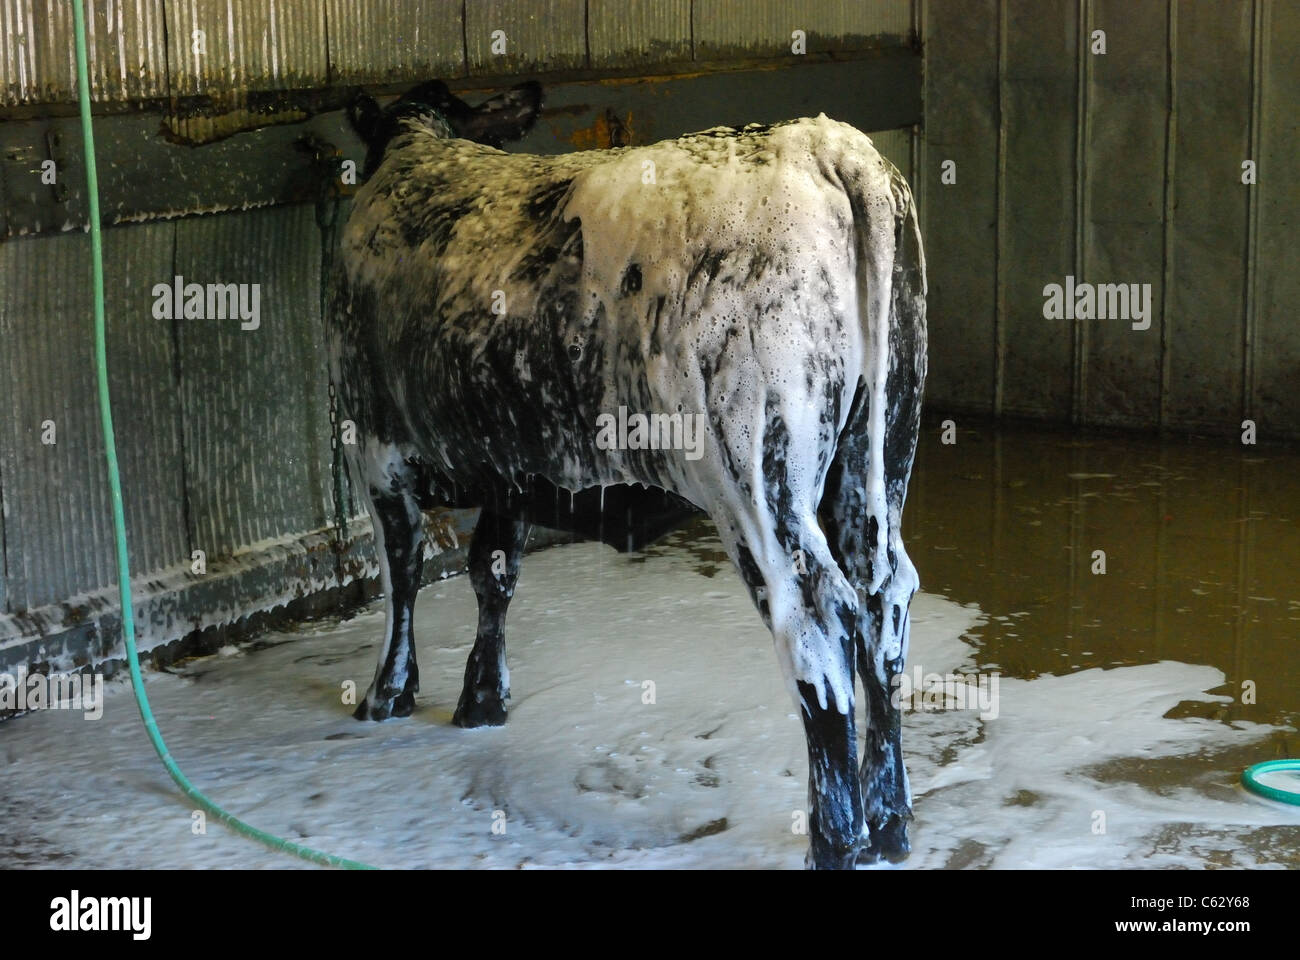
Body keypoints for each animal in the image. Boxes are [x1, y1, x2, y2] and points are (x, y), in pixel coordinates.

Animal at [329, 80, 927, 869]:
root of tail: (825, 143)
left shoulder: (372, 442)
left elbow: (400, 574)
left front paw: (387, 695)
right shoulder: (509, 460)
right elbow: (493, 574)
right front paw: (481, 702)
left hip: (758, 476)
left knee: (820, 621)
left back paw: (836, 841)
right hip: (880, 454)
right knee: (885, 597)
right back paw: (888, 825)